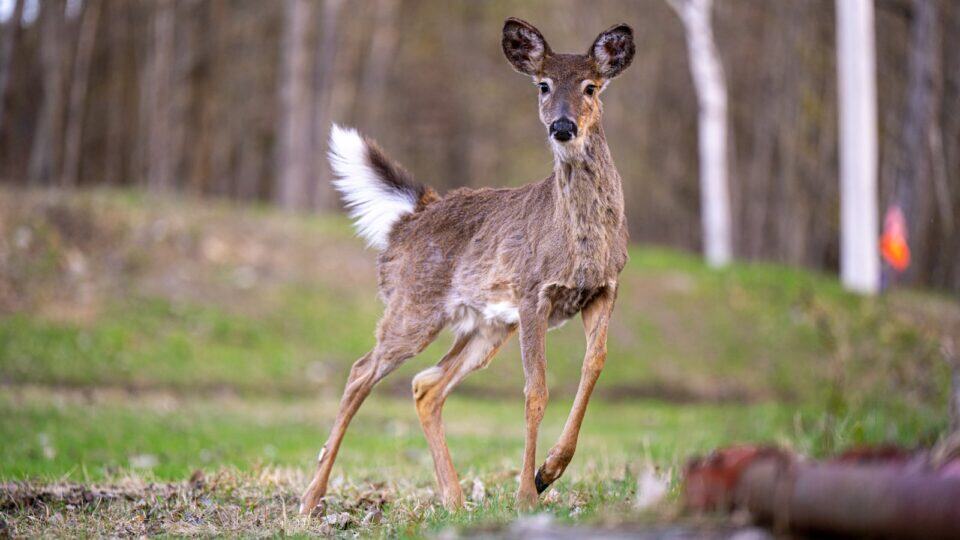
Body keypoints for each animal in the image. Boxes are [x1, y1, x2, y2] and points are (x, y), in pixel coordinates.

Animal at [299, 17, 635, 515]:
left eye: (591, 86)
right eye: (543, 84)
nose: (562, 126)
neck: (581, 243)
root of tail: (412, 214)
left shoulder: (604, 288)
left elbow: (594, 366)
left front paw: (549, 471)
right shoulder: (532, 291)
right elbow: (535, 391)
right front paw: (527, 493)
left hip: (486, 325)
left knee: (426, 384)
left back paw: (454, 500)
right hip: (414, 306)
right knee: (363, 370)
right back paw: (311, 497)